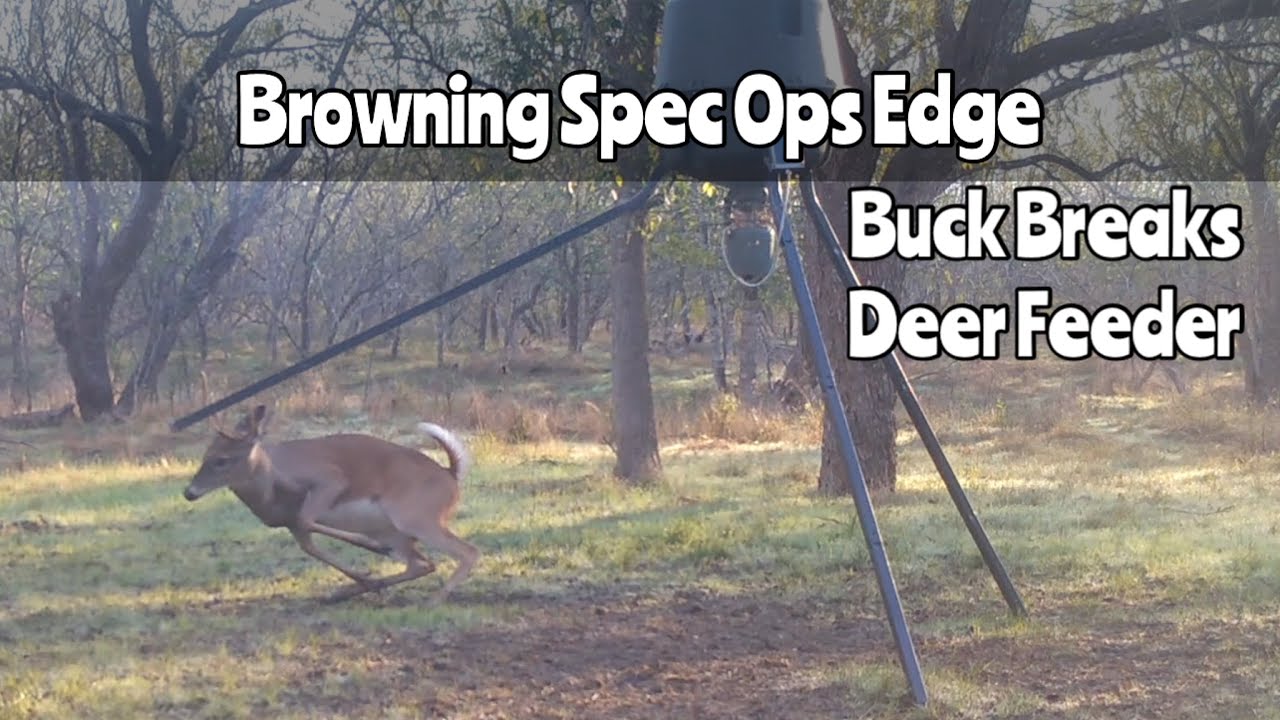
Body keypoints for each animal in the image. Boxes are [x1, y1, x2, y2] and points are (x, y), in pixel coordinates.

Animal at [181, 403, 480, 604]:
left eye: (222, 460)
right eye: (205, 455)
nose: (189, 492)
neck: (269, 489)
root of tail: (451, 474)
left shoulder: (329, 479)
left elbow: (309, 519)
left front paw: (367, 550)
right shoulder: (289, 524)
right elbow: (311, 547)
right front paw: (363, 577)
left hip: (414, 515)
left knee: (468, 551)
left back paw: (434, 598)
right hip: (394, 530)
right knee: (422, 564)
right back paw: (352, 590)